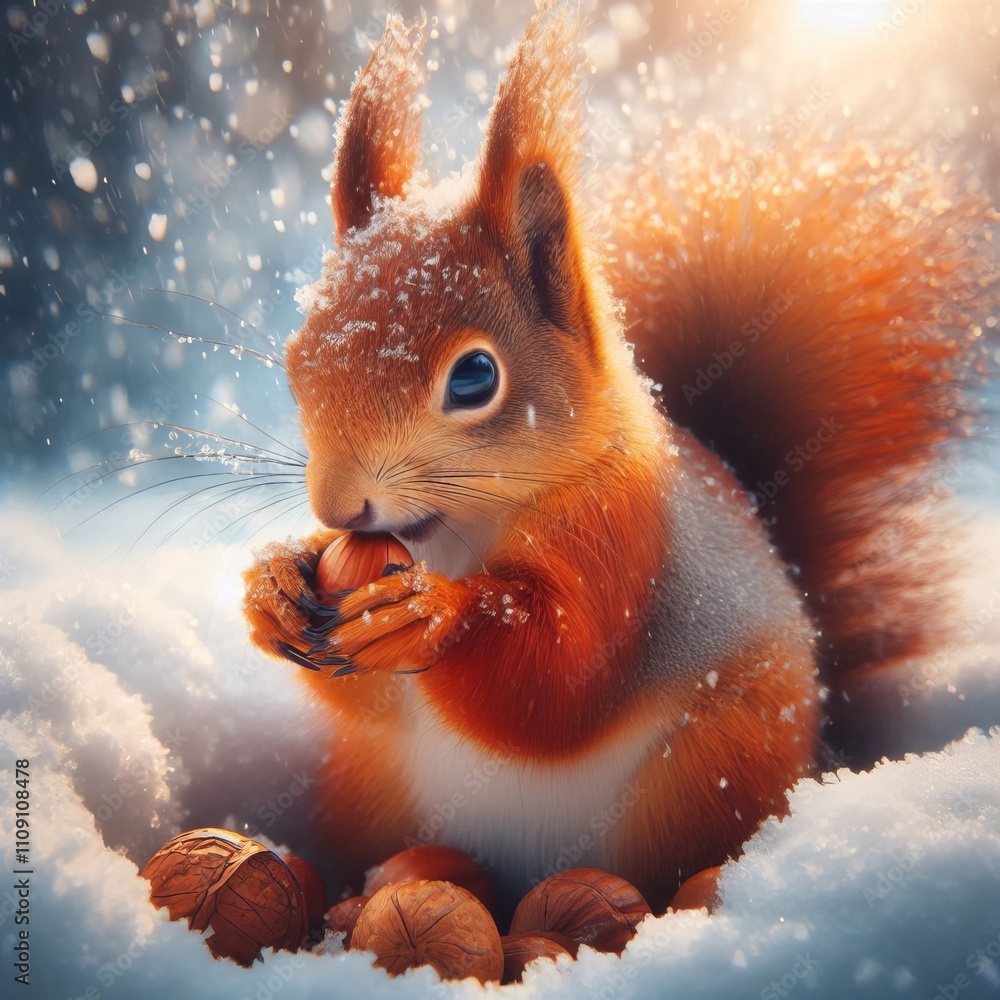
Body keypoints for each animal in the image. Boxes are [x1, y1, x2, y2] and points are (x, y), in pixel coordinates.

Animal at [242, 5, 993, 913]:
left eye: (475, 377)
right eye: (295, 356)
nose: (338, 508)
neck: (460, 532)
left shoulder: (619, 538)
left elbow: (561, 683)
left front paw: (432, 617)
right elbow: (367, 699)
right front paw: (273, 587)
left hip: (708, 774)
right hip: (374, 791)